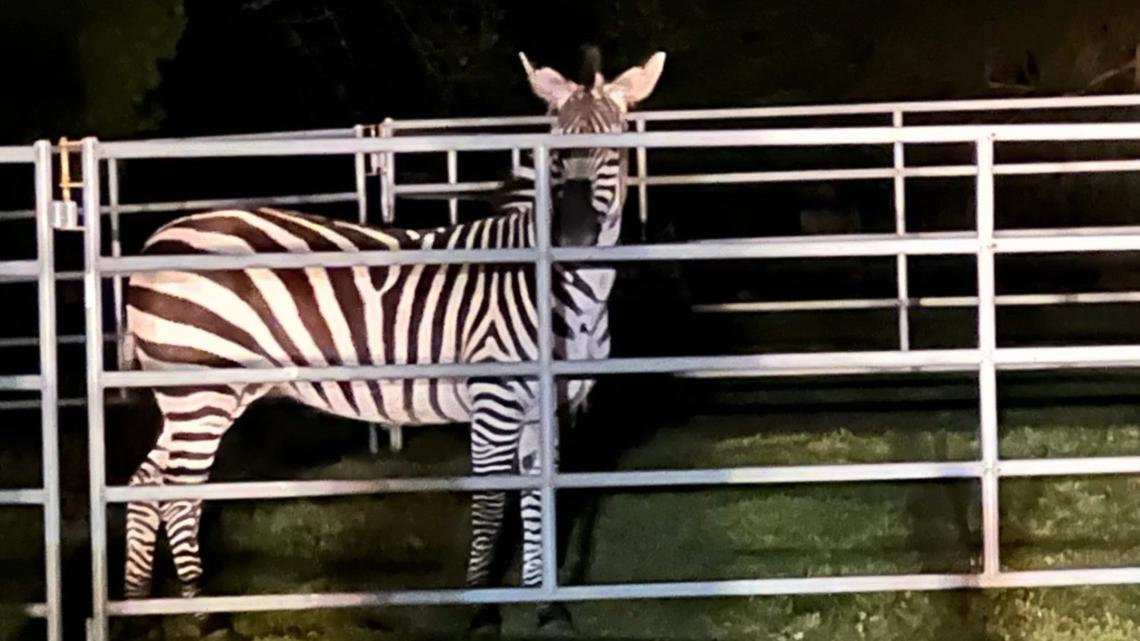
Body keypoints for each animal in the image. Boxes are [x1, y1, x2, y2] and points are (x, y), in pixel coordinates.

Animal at [118, 49, 666, 633]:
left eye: (614, 151)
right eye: (555, 155)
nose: (574, 234)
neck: (561, 288)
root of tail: (157, 239)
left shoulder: (545, 408)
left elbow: (541, 501)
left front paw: (546, 607)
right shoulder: (493, 401)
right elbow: (491, 504)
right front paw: (480, 610)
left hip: (195, 395)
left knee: (145, 482)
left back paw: (137, 606)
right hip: (202, 389)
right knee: (179, 494)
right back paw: (206, 616)